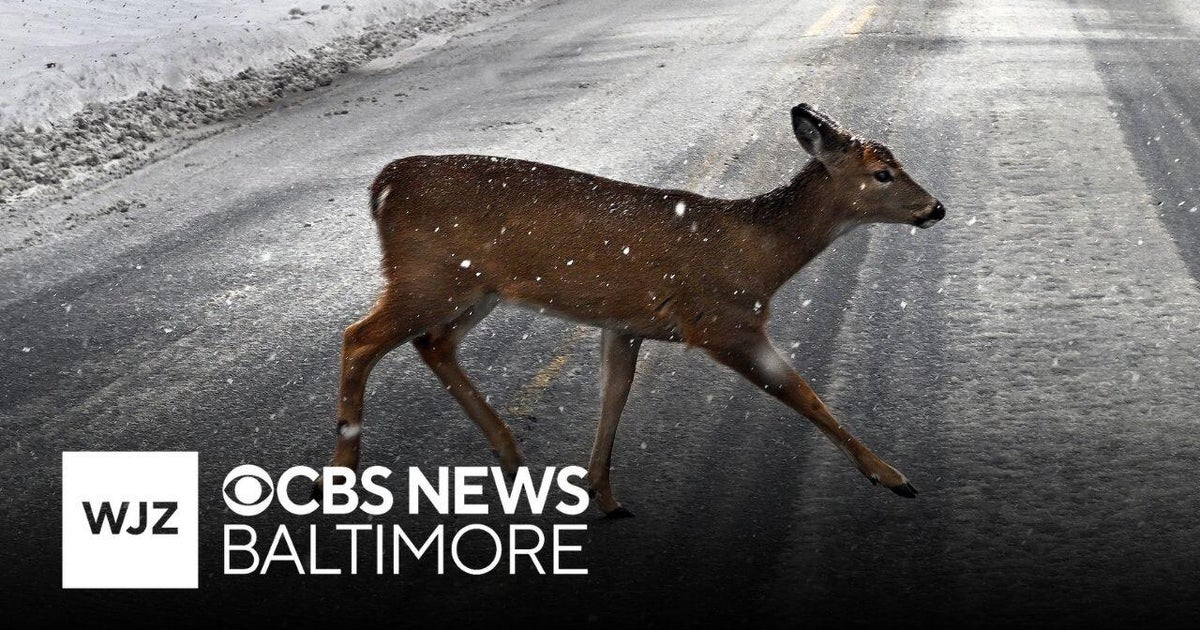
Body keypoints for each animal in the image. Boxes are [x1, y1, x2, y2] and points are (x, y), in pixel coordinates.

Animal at [323, 103, 946, 517]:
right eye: (882, 173)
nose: (936, 208)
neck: (758, 254)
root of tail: (382, 186)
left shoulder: (625, 325)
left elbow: (615, 394)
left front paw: (601, 492)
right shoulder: (719, 320)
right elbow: (801, 392)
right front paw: (893, 477)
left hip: (476, 290)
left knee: (433, 343)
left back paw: (510, 455)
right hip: (429, 277)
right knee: (360, 337)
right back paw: (338, 475)